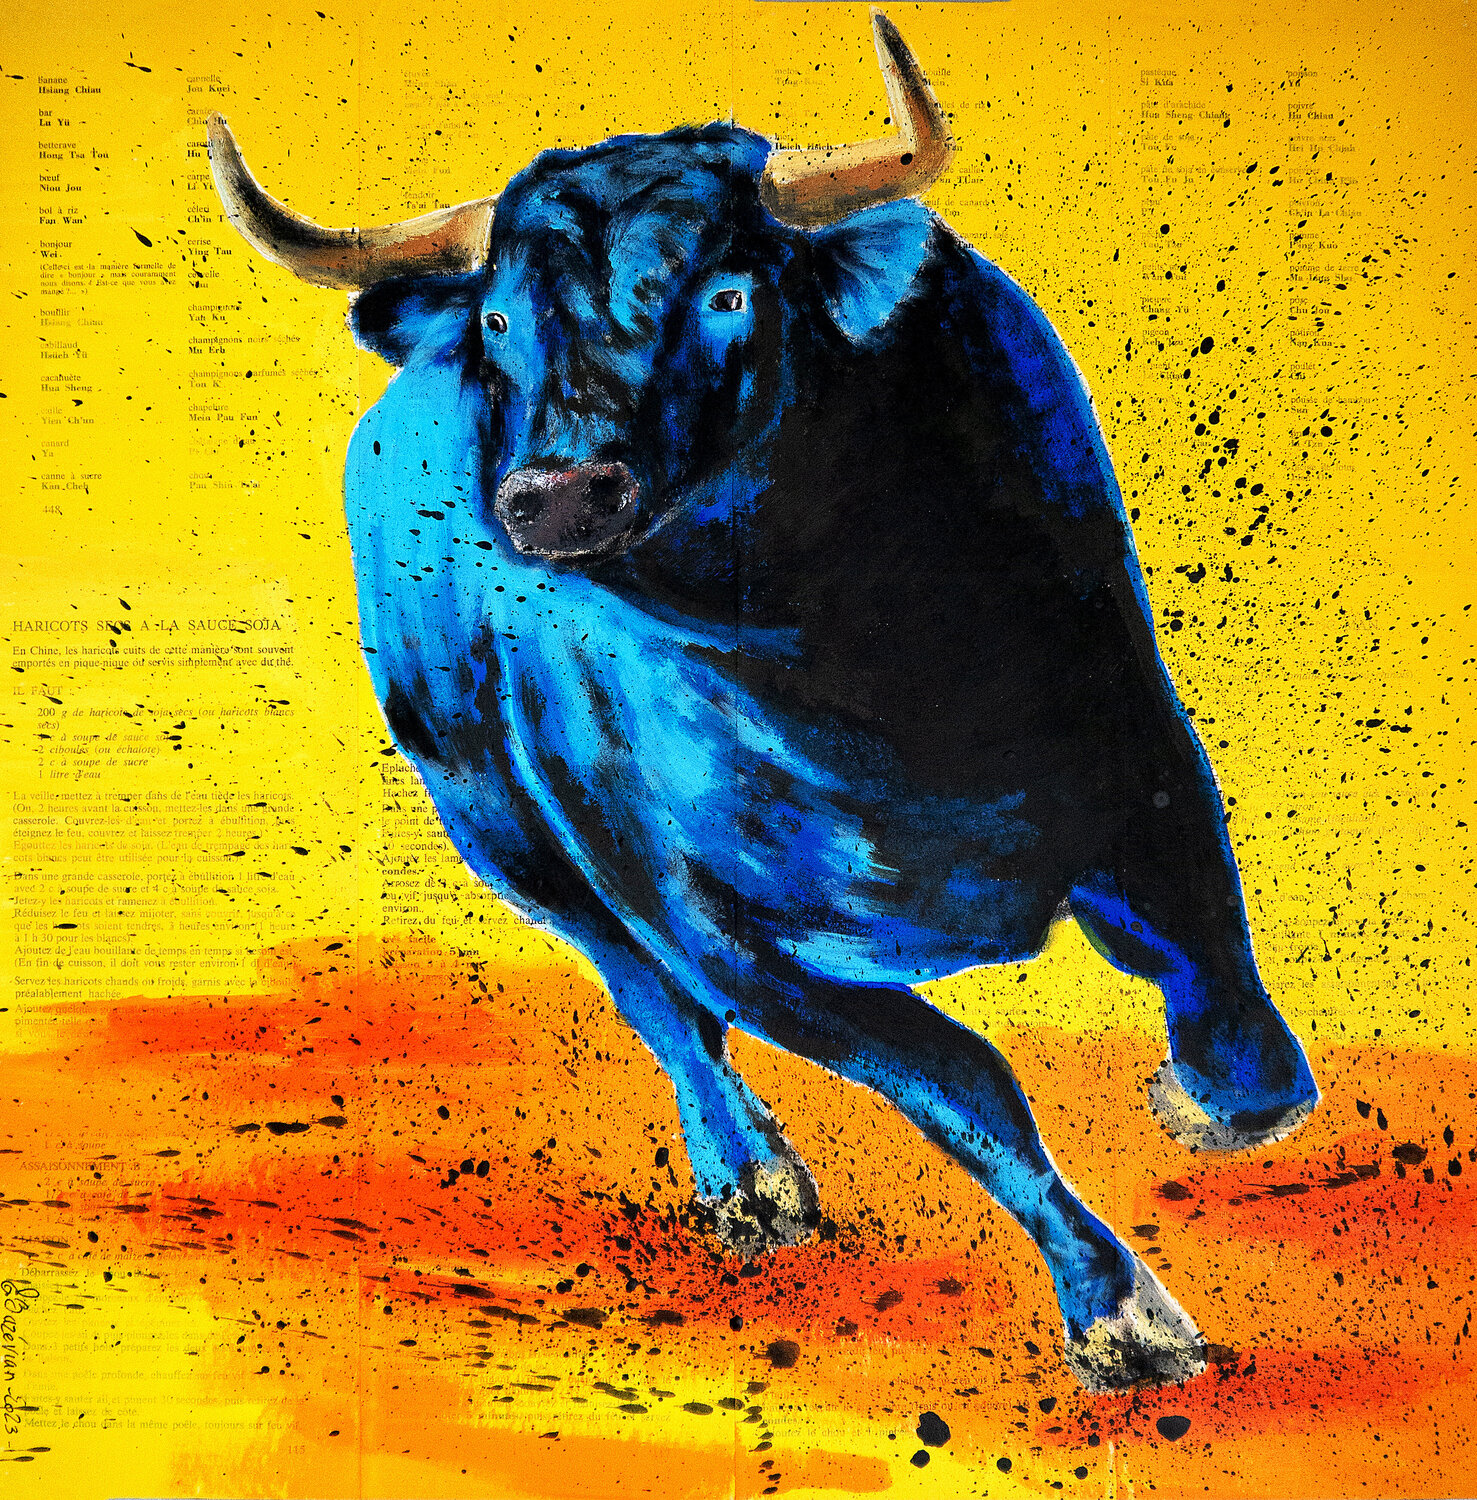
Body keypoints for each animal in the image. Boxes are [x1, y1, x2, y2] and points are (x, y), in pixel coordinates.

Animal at [208, 11, 1319, 1390]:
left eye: (728, 293)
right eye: (502, 323)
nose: (558, 493)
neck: (873, 694)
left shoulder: (1144, 768)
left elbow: (1225, 989)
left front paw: (1200, 1104)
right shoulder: (724, 938)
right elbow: (964, 1085)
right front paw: (1122, 1317)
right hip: (500, 828)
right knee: (646, 997)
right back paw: (749, 1181)